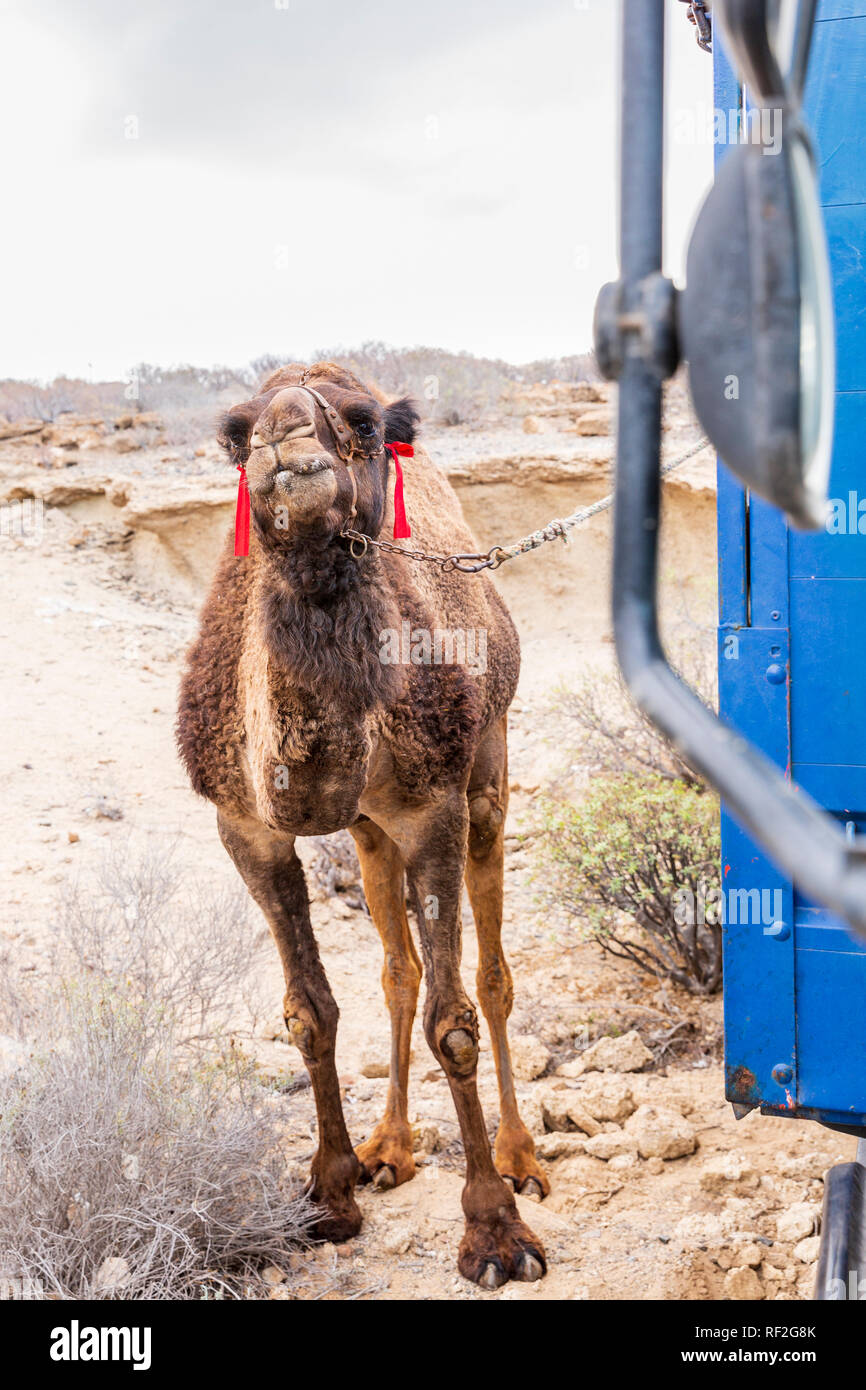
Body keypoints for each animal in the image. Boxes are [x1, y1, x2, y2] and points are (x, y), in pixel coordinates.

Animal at [177, 361, 548, 1288]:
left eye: (366, 424)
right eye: (236, 436)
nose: (282, 433)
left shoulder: (432, 807)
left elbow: (455, 1022)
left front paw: (496, 1234)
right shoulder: (246, 826)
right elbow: (310, 1010)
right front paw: (328, 1195)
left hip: (488, 771)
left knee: (492, 974)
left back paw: (521, 1156)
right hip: (371, 833)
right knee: (396, 969)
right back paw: (390, 1147)